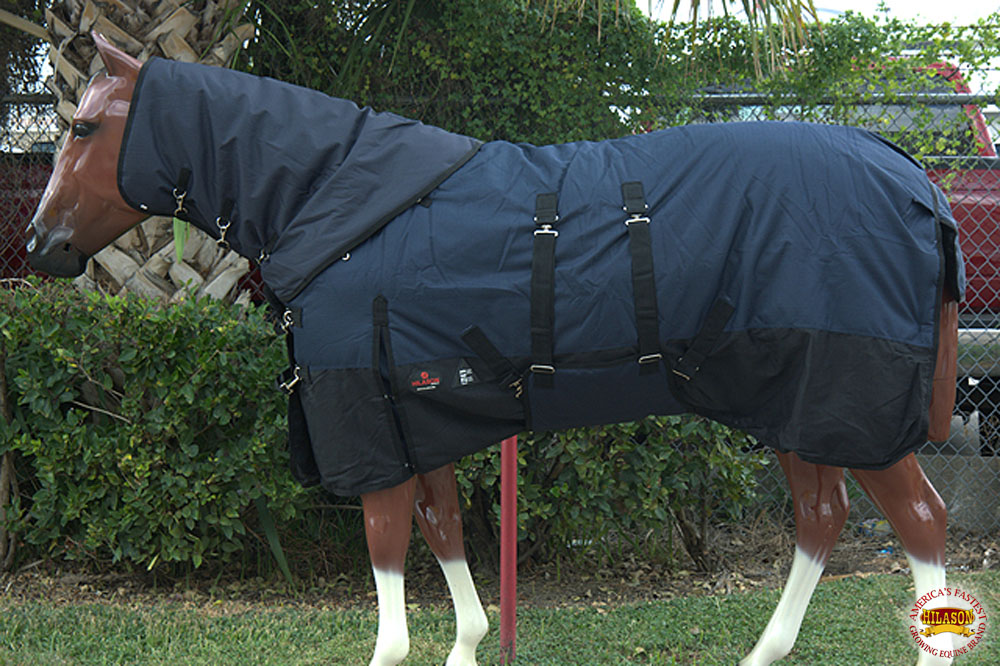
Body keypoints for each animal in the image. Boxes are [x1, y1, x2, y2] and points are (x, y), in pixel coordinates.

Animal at [26, 33, 964, 666]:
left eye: (84, 127)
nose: (41, 247)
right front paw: (469, 640)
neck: (338, 200)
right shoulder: (417, 411)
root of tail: (911, 175)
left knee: (920, 519)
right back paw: (765, 650)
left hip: (845, 394)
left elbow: (387, 546)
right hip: (794, 401)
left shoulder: (372, 426)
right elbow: (441, 530)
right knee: (823, 515)